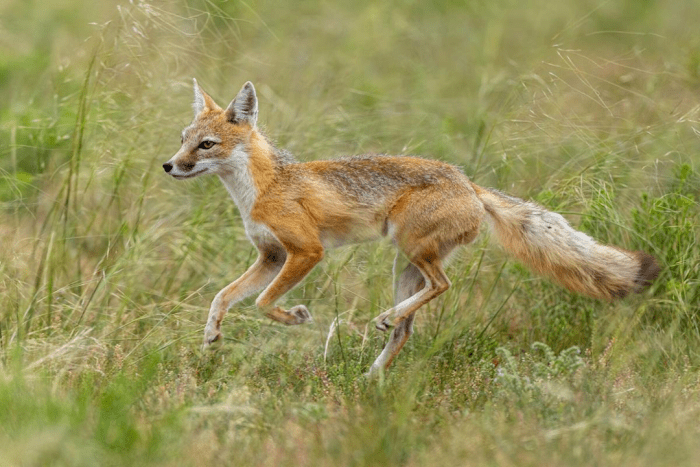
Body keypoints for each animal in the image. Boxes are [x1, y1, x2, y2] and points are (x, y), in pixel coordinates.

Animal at [163, 80, 660, 375]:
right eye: (183, 139)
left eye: (206, 145)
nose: (169, 166)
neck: (262, 188)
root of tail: (468, 181)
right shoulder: (271, 256)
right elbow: (222, 296)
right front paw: (211, 334)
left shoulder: (305, 252)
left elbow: (263, 303)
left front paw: (295, 316)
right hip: (405, 264)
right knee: (407, 329)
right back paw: (370, 378)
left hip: (413, 252)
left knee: (442, 287)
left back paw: (382, 330)